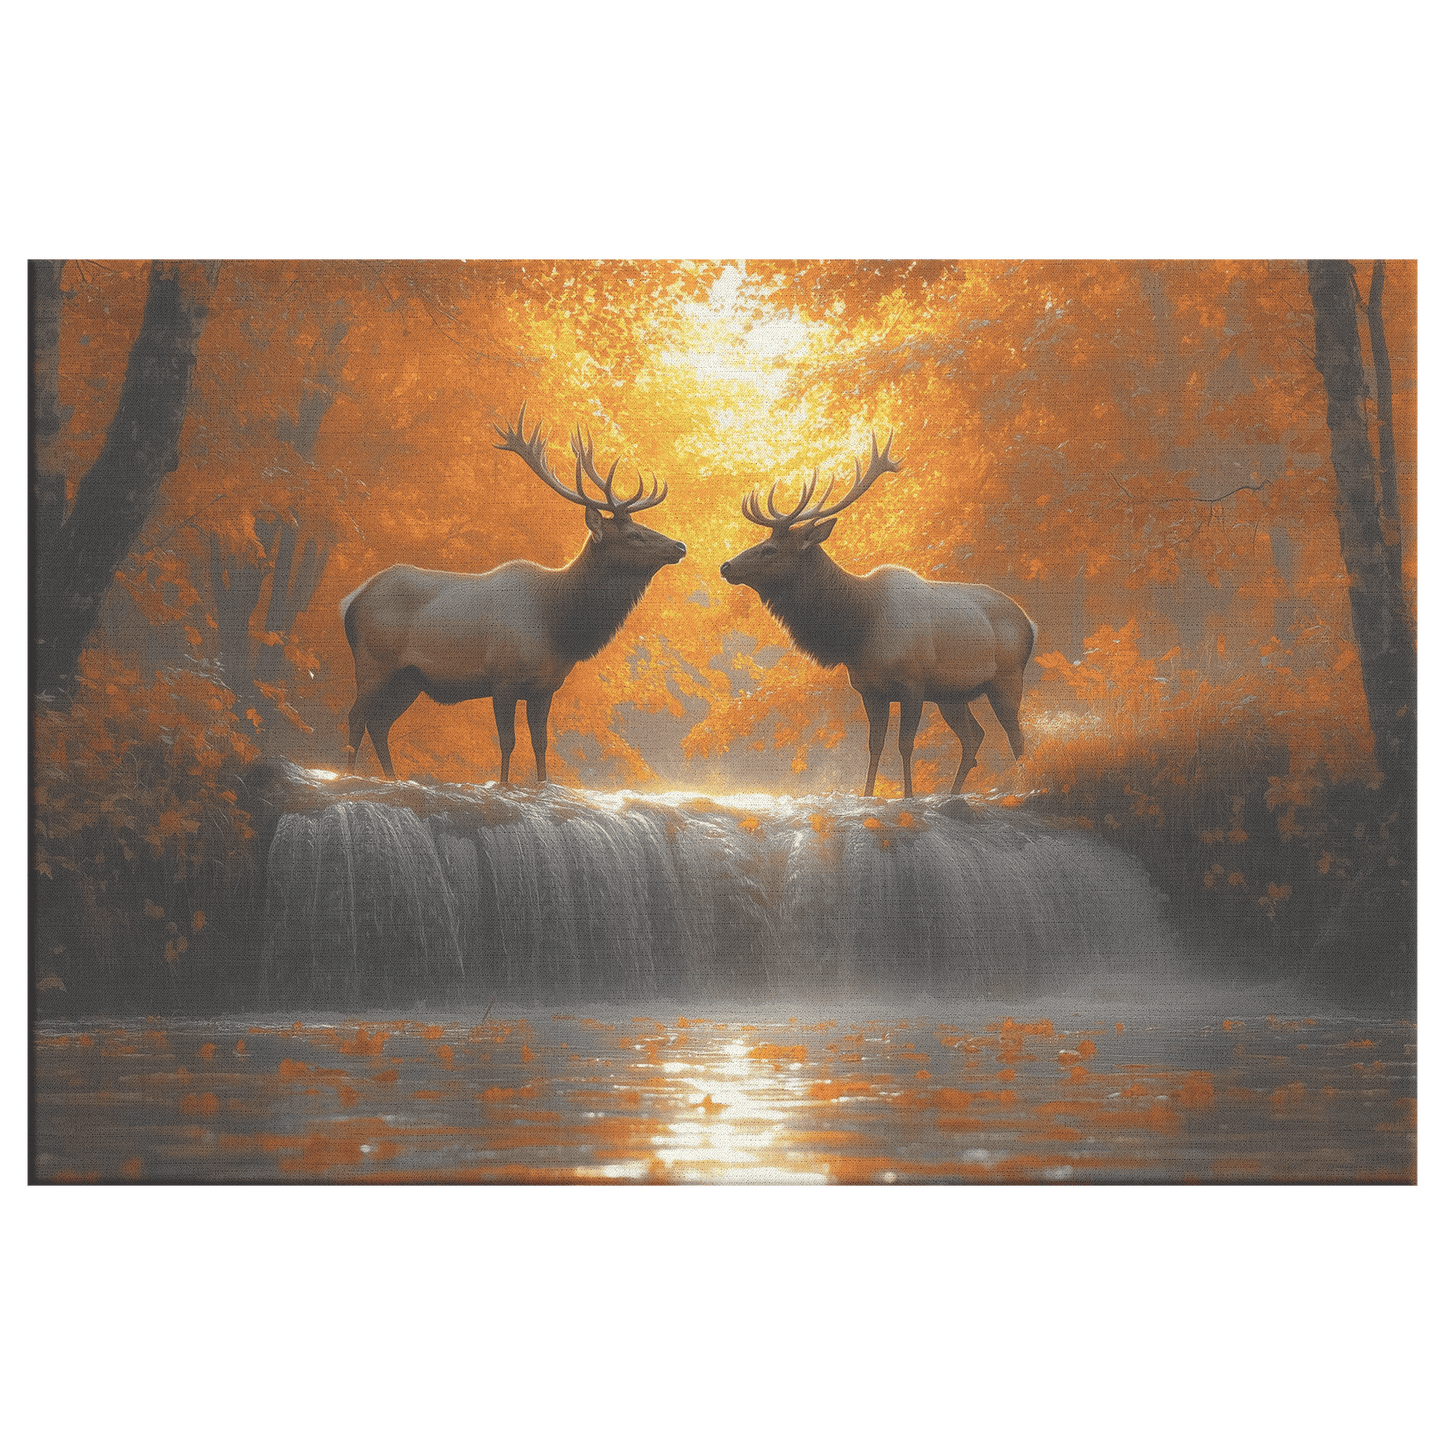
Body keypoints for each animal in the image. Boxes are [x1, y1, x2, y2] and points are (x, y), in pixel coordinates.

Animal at [339, 404, 686, 783]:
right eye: (634, 535)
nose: (680, 546)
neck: (559, 626)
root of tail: (351, 600)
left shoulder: (545, 686)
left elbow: (540, 743)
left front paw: (542, 784)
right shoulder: (503, 678)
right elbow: (508, 742)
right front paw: (504, 785)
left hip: (409, 678)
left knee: (379, 724)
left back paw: (392, 778)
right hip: (373, 662)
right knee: (356, 717)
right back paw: (348, 775)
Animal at [719, 434, 1036, 799]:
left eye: (769, 550)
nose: (726, 566)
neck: (859, 630)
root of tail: (1031, 623)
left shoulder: (913, 682)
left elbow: (905, 744)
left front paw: (908, 796)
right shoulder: (869, 688)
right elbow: (875, 745)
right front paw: (868, 795)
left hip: (1007, 679)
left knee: (1016, 738)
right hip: (952, 694)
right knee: (974, 738)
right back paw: (954, 794)